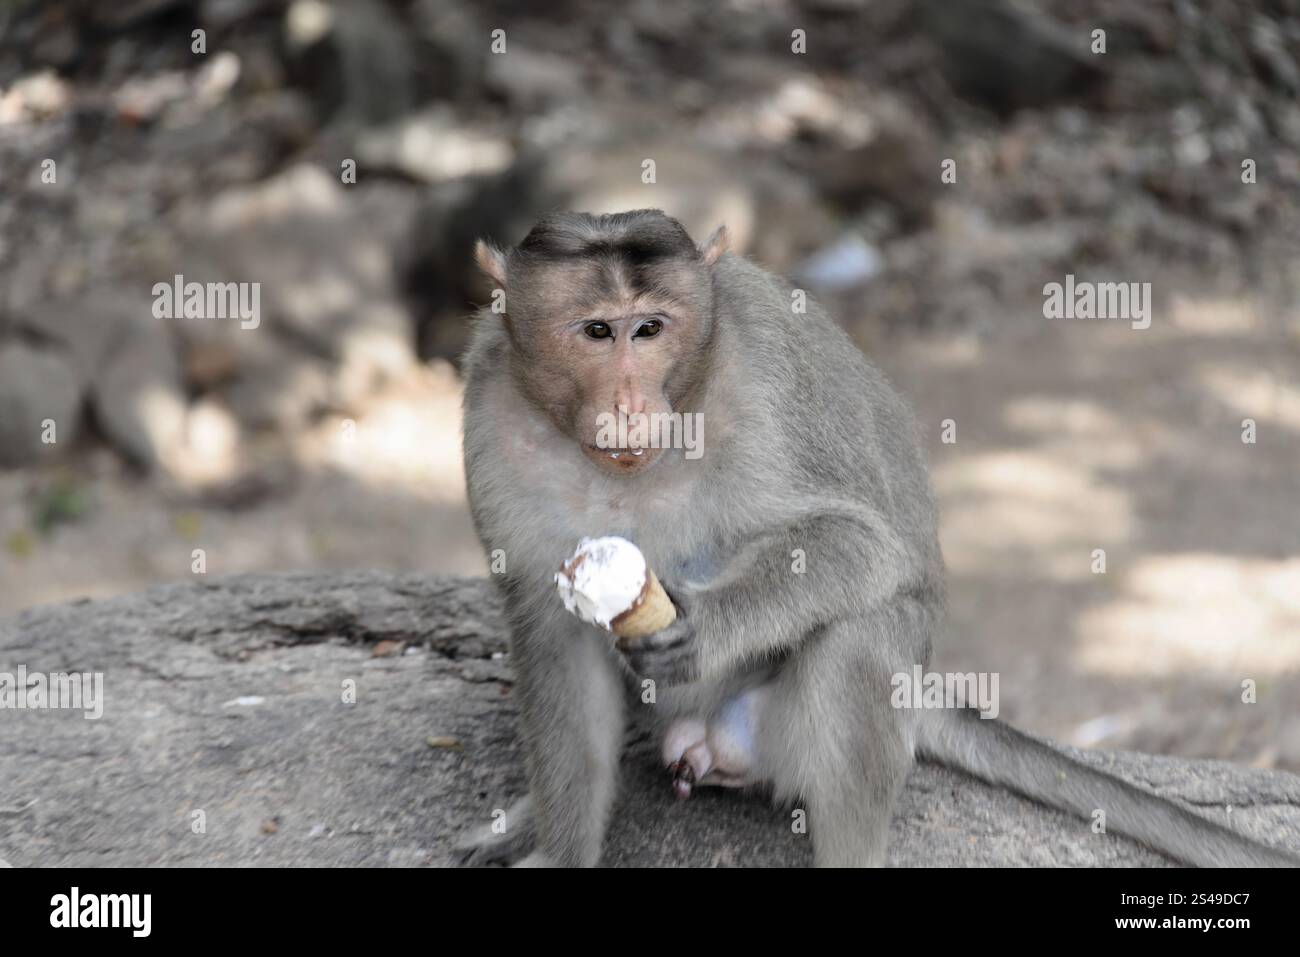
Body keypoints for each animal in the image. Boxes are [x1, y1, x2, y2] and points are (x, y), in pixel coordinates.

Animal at [455, 208, 1298, 868]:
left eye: (651, 328)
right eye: (597, 331)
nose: (631, 403)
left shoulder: (764, 387)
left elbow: (865, 544)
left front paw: (710, 623)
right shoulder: (488, 412)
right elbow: (551, 632)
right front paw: (558, 848)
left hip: (788, 728)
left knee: (859, 636)